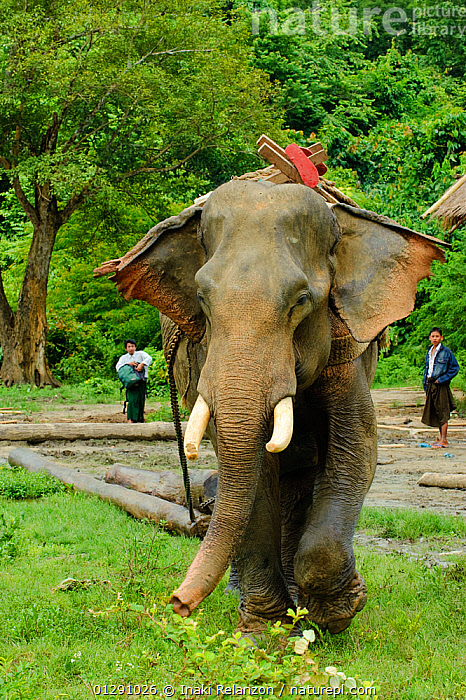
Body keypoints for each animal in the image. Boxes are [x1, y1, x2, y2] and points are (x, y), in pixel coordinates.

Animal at [96, 179, 446, 635]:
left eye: (301, 300)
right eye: (201, 299)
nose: (177, 603)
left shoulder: (346, 348)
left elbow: (356, 446)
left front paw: (336, 612)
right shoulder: (207, 351)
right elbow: (253, 472)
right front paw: (267, 633)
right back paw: (249, 597)